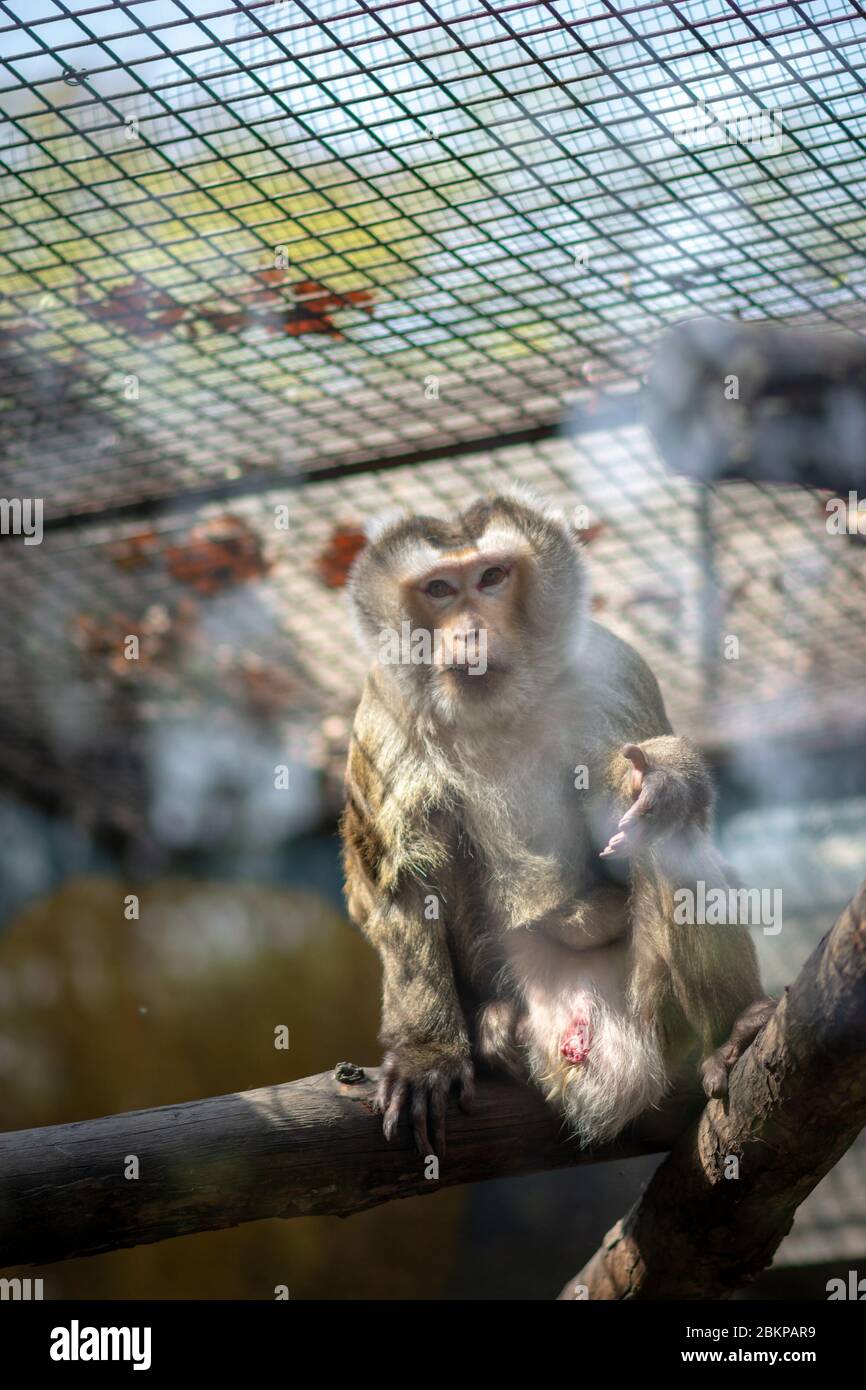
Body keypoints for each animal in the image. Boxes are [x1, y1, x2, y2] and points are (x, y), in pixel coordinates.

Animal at [341, 489, 774, 1155]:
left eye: (492, 577)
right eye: (439, 589)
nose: (469, 630)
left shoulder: (611, 667)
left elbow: (653, 800)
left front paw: (665, 780)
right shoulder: (382, 708)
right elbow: (397, 880)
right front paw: (427, 1053)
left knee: (669, 841)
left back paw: (730, 1033)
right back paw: (493, 1026)